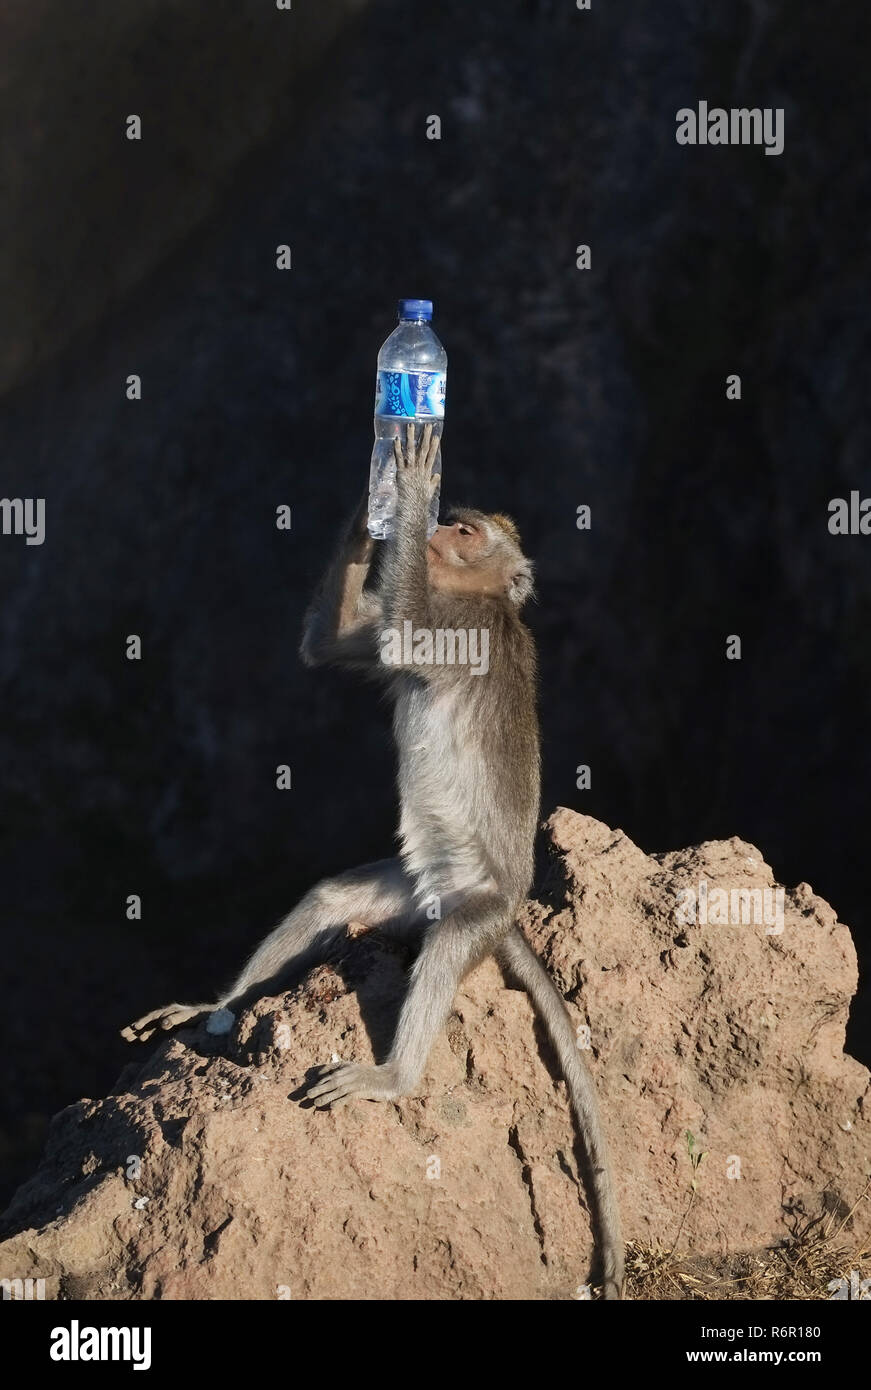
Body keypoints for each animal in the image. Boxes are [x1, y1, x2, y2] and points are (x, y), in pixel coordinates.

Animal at [123, 423, 624, 1299]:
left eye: (467, 530)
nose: (438, 530)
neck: (489, 598)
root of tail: (506, 911)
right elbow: (328, 646)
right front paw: (370, 508)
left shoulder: (461, 624)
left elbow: (407, 628)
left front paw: (408, 481)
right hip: (409, 891)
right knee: (331, 899)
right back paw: (214, 1005)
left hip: (475, 911)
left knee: (445, 952)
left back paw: (393, 1080)